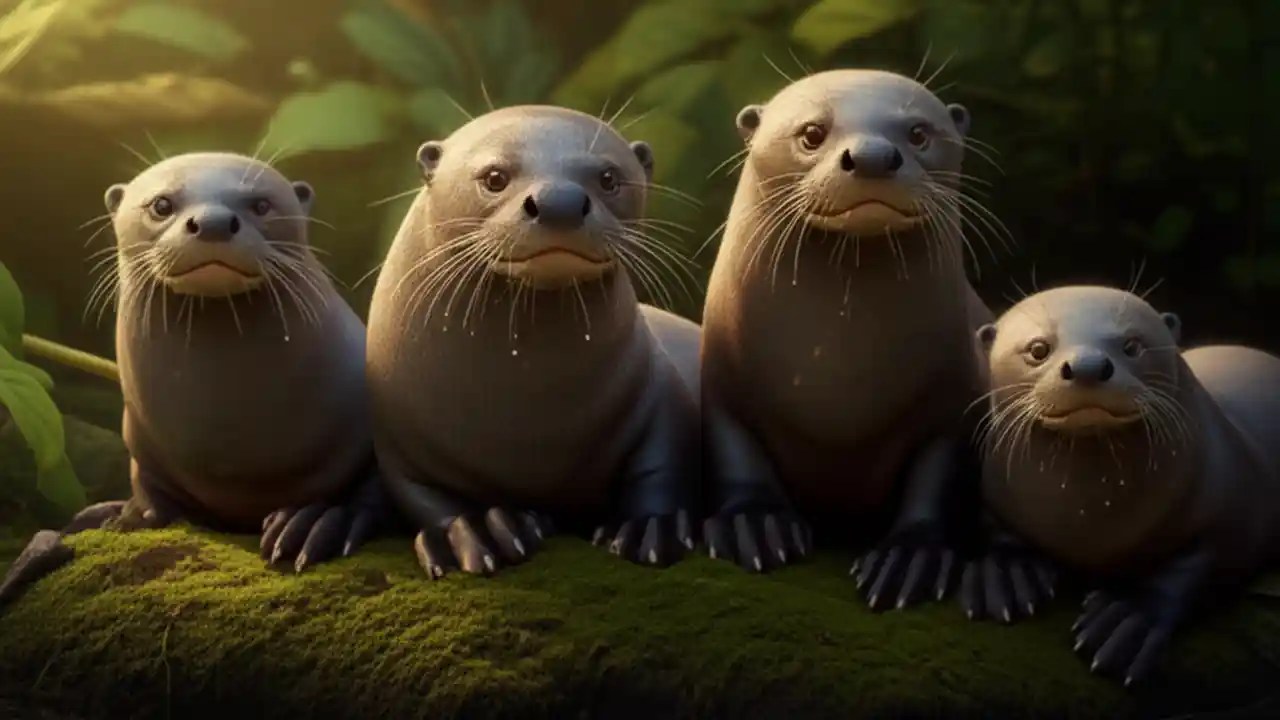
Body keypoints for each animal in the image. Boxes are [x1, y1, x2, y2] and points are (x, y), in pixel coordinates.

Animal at [366, 106, 700, 578]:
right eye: (494, 177)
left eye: (609, 178)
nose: (559, 202)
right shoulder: (400, 441)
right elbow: (426, 495)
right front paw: (478, 530)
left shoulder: (662, 393)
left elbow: (662, 462)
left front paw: (651, 529)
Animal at [700, 69, 993, 610]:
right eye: (812, 133)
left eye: (918, 133)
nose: (874, 157)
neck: (838, 372)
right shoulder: (723, 383)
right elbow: (736, 452)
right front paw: (755, 524)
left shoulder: (954, 400)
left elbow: (936, 475)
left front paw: (909, 557)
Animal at [967, 285, 1280, 686]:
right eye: (1038, 349)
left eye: (1132, 345)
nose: (1087, 366)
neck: (1089, 520)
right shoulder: (994, 491)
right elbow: (995, 527)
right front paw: (1010, 571)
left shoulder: (1234, 500)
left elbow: (1201, 562)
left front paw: (1130, 615)